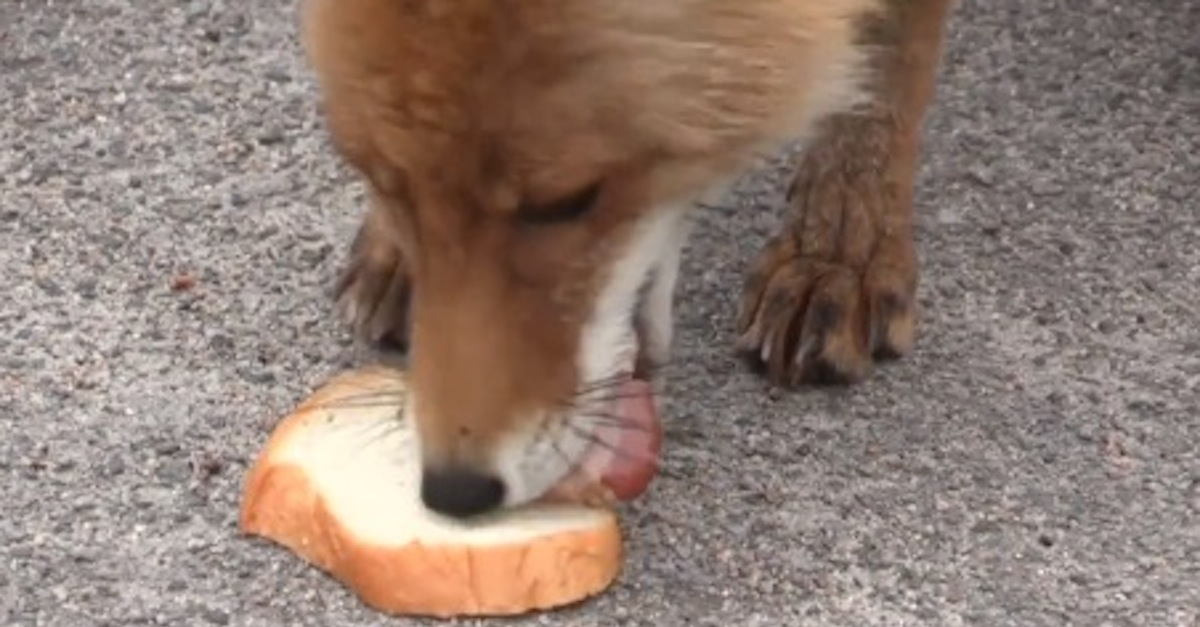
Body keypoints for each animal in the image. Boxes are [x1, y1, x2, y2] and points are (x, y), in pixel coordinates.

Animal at [298, 0, 958, 518]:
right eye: (382, 181)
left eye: (564, 201)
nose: (453, 492)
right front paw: (392, 251)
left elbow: (887, 59)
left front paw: (842, 247)